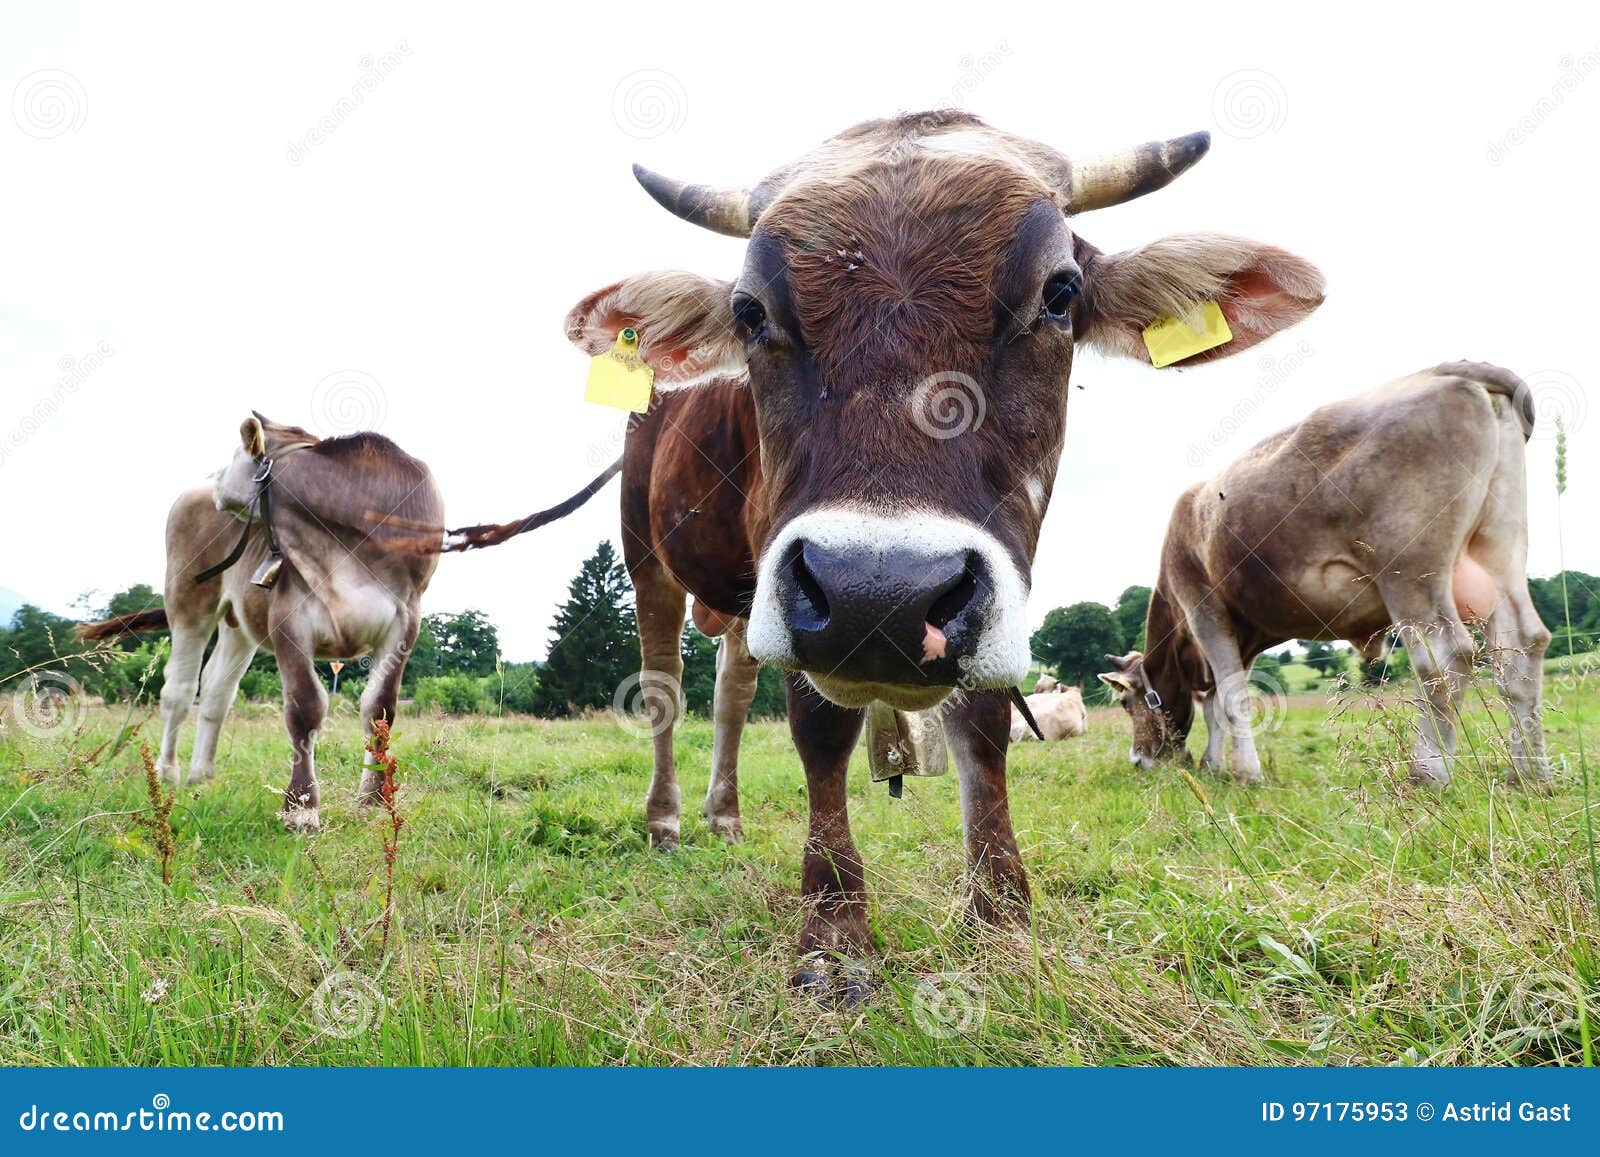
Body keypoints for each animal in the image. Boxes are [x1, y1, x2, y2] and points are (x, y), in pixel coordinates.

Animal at [78, 414, 444, 831]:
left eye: (235, 452)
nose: (216, 477)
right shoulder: (288, 615)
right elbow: (305, 706)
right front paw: (302, 807)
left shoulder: (405, 618)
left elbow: (380, 709)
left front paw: (373, 800)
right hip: (187, 600)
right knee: (179, 690)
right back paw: (166, 772)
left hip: (239, 624)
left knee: (217, 691)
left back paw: (202, 774)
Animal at [559, 110, 1323, 991]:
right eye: (750, 313)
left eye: (1059, 294)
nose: (879, 593)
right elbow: (819, 728)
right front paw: (834, 928)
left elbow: (985, 721)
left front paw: (1000, 912)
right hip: (647, 555)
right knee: (662, 686)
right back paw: (668, 821)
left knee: (730, 691)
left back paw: (725, 815)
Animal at [1097, 362, 1549, 788]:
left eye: (1124, 703)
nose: (1139, 760)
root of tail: (1444, 369)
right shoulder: (1244, 634)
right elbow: (1214, 704)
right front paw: (1214, 765)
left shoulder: (1203, 609)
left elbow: (1230, 699)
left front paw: (1245, 774)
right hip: (1501, 551)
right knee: (1522, 648)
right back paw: (1529, 773)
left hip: (1410, 568)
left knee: (1445, 656)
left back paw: (1428, 772)